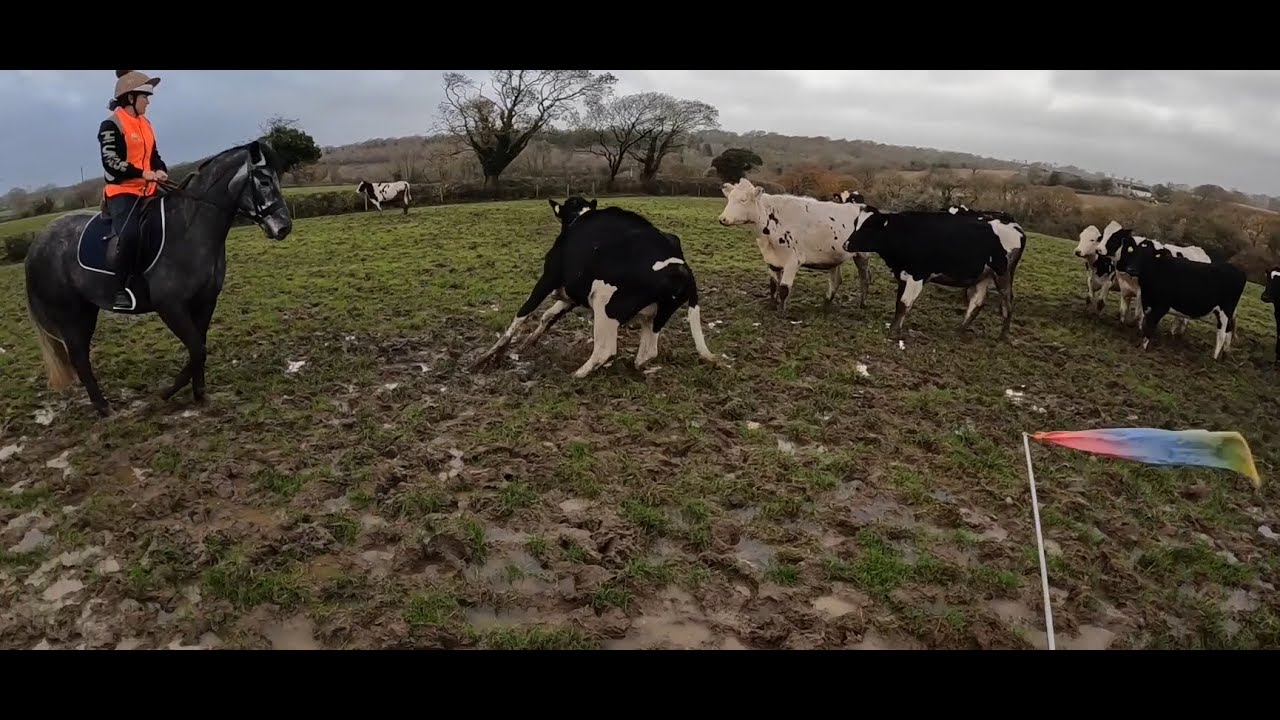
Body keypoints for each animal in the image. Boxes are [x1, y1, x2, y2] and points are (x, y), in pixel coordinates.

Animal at [471, 196, 719, 377]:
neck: (579, 218)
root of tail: (682, 268)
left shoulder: (548, 279)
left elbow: (523, 314)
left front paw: (488, 356)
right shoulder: (571, 295)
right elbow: (547, 317)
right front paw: (529, 342)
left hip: (605, 304)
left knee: (605, 350)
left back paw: (577, 374)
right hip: (653, 317)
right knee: (647, 353)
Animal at [717, 178, 873, 315]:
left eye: (743, 200)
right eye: (729, 199)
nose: (722, 219)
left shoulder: (793, 260)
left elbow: (784, 289)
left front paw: (781, 312)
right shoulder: (772, 260)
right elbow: (773, 286)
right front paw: (772, 306)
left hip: (862, 255)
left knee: (864, 278)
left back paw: (863, 304)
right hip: (834, 257)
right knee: (836, 281)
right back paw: (826, 305)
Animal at [842, 205, 1014, 340]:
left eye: (869, 226)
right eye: (856, 223)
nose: (846, 244)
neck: (904, 233)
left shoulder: (917, 275)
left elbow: (904, 304)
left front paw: (893, 332)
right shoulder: (903, 275)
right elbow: (899, 303)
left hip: (1003, 275)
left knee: (1008, 303)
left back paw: (1003, 336)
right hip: (983, 277)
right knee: (977, 302)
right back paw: (960, 330)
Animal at [1115, 238, 1245, 360]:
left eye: (1147, 256)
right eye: (1134, 252)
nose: (1131, 269)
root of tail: (1237, 270)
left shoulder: (1160, 307)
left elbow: (1150, 326)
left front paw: (1143, 348)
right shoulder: (1147, 303)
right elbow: (1145, 322)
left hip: (1225, 310)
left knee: (1222, 333)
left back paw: (1214, 357)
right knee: (1228, 330)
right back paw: (1224, 354)